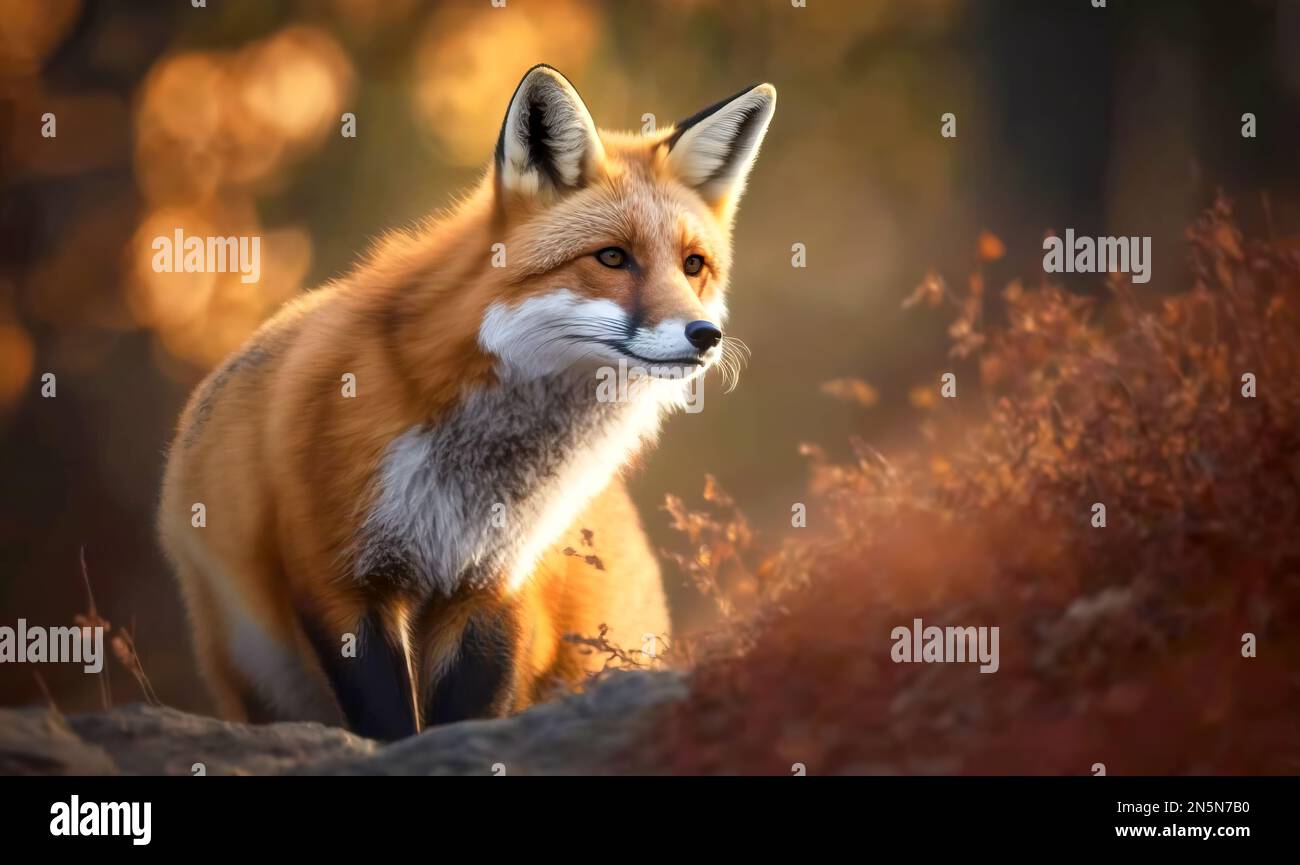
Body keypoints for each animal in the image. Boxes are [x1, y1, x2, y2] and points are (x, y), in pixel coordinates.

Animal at [157, 65, 776, 740]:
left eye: (693, 265)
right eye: (612, 257)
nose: (705, 335)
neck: (475, 474)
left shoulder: (494, 588)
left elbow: (465, 717)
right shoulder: (340, 581)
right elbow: (391, 725)